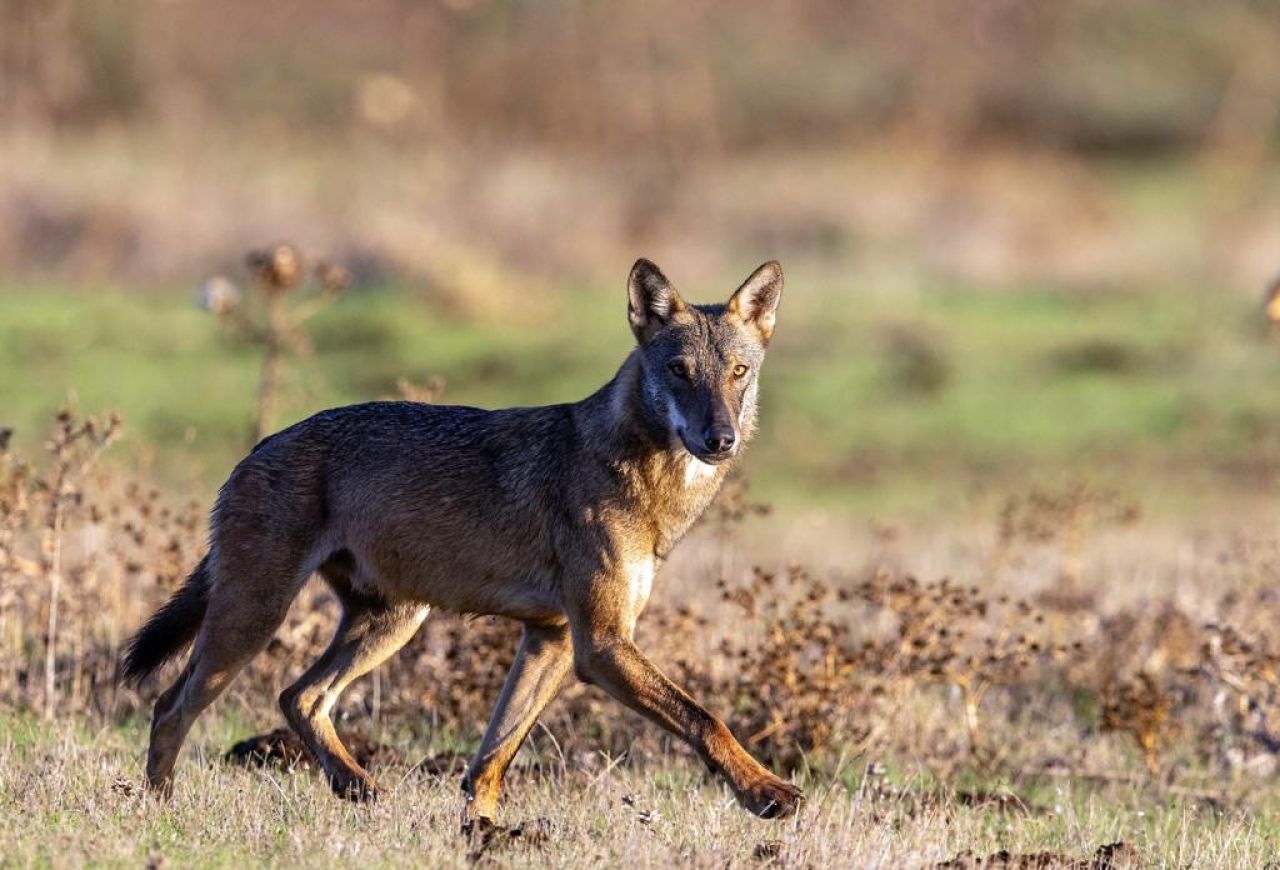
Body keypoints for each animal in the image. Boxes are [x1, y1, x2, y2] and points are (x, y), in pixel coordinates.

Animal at [122, 258, 803, 825]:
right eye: (680, 372)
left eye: (738, 373)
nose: (720, 439)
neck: (646, 483)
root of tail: (257, 448)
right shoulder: (602, 644)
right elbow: (704, 717)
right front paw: (767, 793)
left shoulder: (553, 640)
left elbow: (492, 761)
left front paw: (485, 834)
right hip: (255, 621)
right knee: (171, 707)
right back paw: (160, 811)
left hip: (392, 623)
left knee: (299, 696)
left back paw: (355, 784)